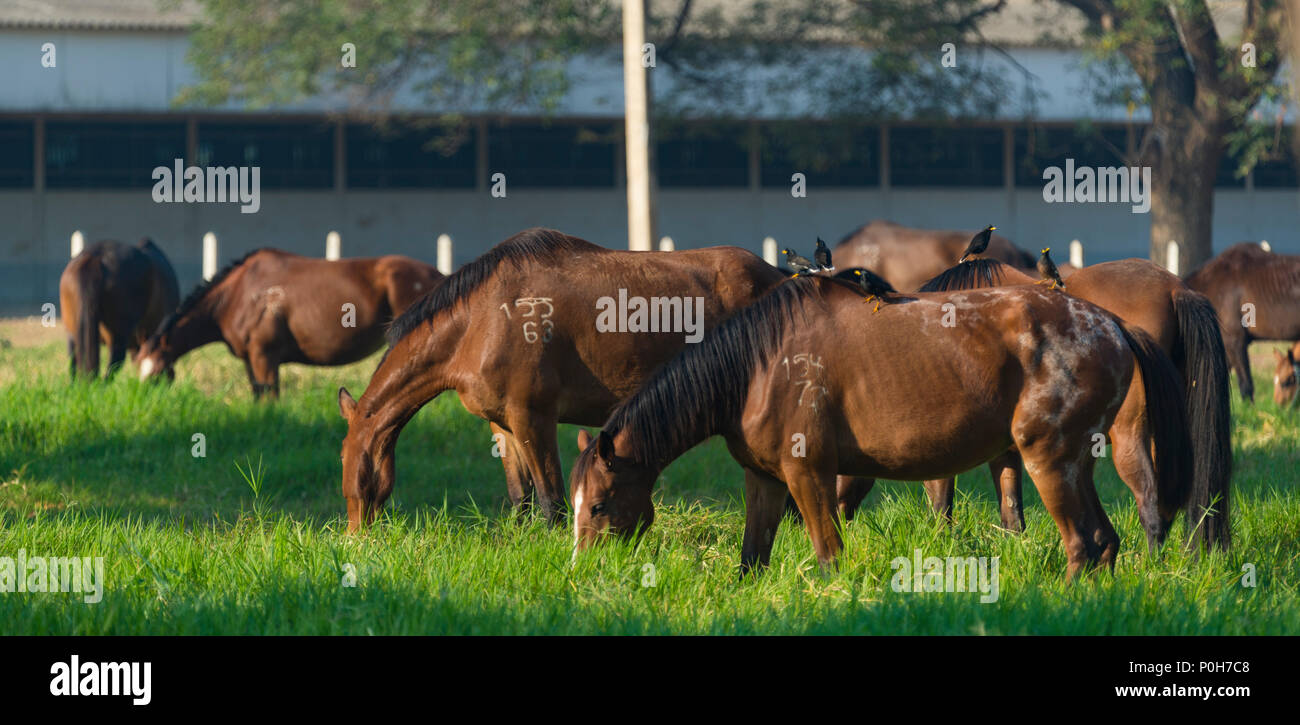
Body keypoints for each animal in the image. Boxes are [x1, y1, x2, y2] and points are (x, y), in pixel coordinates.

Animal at [135, 248, 443, 398]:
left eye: (157, 373)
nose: (144, 399)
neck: (237, 295)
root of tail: (437, 274)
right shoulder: (251, 361)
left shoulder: (265, 356)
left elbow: (271, 398)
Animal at [337, 228, 786, 531]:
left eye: (348, 460)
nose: (356, 536)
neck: (479, 323)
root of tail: (779, 276)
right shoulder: (503, 425)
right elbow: (520, 498)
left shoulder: (534, 419)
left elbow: (551, 501)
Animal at [570, 276, 1191, 580]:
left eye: (598, 505)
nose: (581, 569)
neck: (758, 366)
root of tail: (1113, 325)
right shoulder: (764, 481)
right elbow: (751, 561)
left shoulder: (809, 476)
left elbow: (828, 558)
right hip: (1077, 464)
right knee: (1106, 543)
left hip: (1048, 461)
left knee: (1082, 544)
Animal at [845, 258, 1232, 551]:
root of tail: (1174, 287)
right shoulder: (1005, 446)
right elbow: (1011, 511)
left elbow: (945, 503)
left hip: (1129, 434)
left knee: (1150, 501)